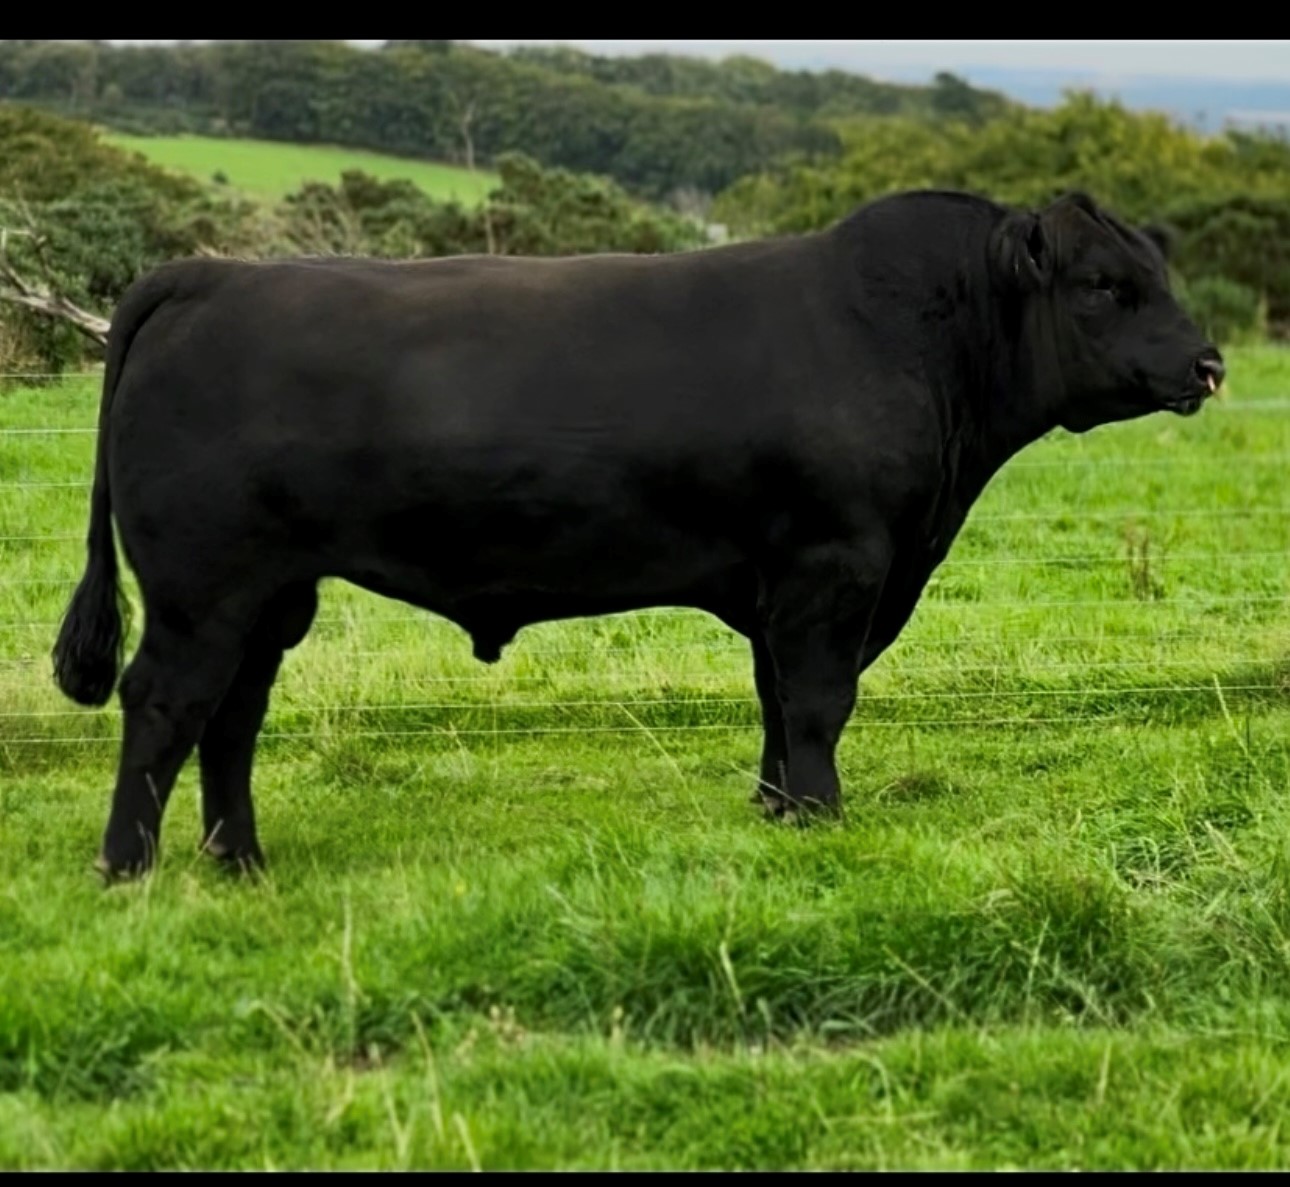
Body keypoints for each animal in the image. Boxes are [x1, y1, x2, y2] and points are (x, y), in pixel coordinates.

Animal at [51, 189, 1225, 880]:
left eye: (1159, 278)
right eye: (1104, 286)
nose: (1210, 363)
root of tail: (212, 273)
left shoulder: (783, 586)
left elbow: (775, 701)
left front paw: (776, 810)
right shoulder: (834, 569)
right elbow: (818, 701)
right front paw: (822, 817)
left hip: (268, 596)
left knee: (233, 716)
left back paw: (239, 858)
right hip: (203, 588)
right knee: (165, 705)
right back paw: (129, 866)